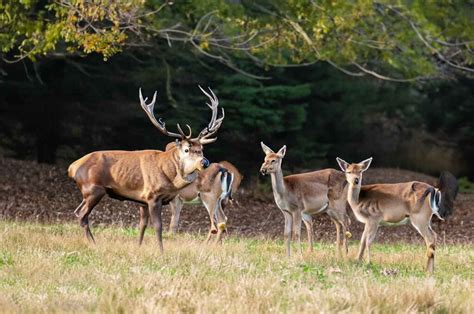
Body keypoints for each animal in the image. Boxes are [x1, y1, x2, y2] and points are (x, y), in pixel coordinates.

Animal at [67, 86, 225, 253]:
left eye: (201, 149)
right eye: (187, 149)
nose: (205, 162)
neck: (170, 177)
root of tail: (72, 167)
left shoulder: (143, 200)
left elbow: (142, 225)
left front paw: (139, 246)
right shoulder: (153, 196)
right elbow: (158, 226)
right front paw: (161, 251)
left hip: (88, 192)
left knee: (78, 212)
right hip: (93, 189)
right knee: (82, 215)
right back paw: (93, 244)